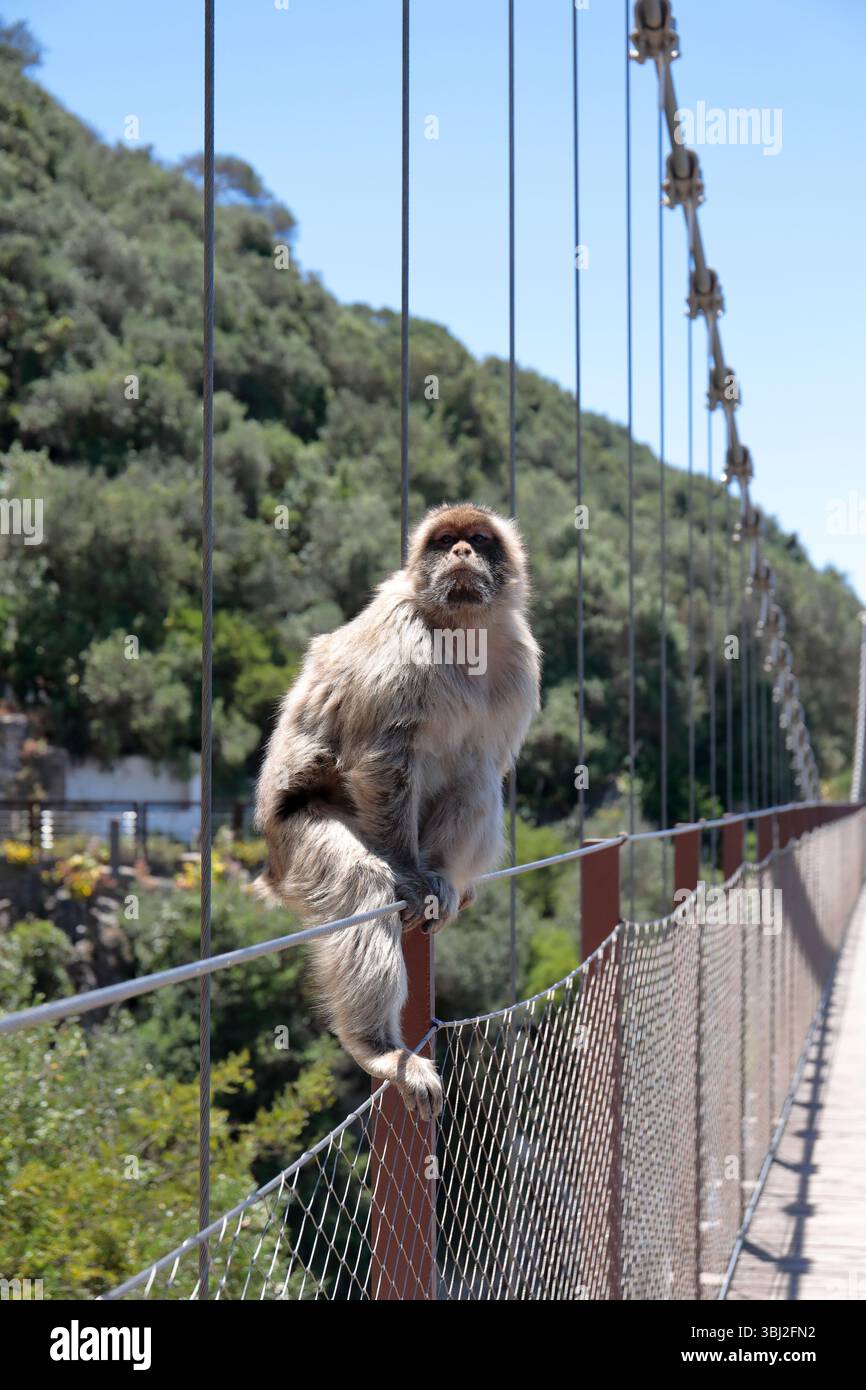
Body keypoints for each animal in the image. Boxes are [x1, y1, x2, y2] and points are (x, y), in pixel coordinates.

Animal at [253, 503, 540, 1119]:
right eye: (445, 540)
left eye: (479, 539)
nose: (461, 553)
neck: (461, 631)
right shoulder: (401, 641)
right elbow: (383, 758)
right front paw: (408, 877)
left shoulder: (519, 659)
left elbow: (489, 759)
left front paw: (434, 877)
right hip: (296, 840)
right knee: (361, 882)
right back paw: (379, 1049)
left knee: (477, 774)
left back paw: (445, 878)